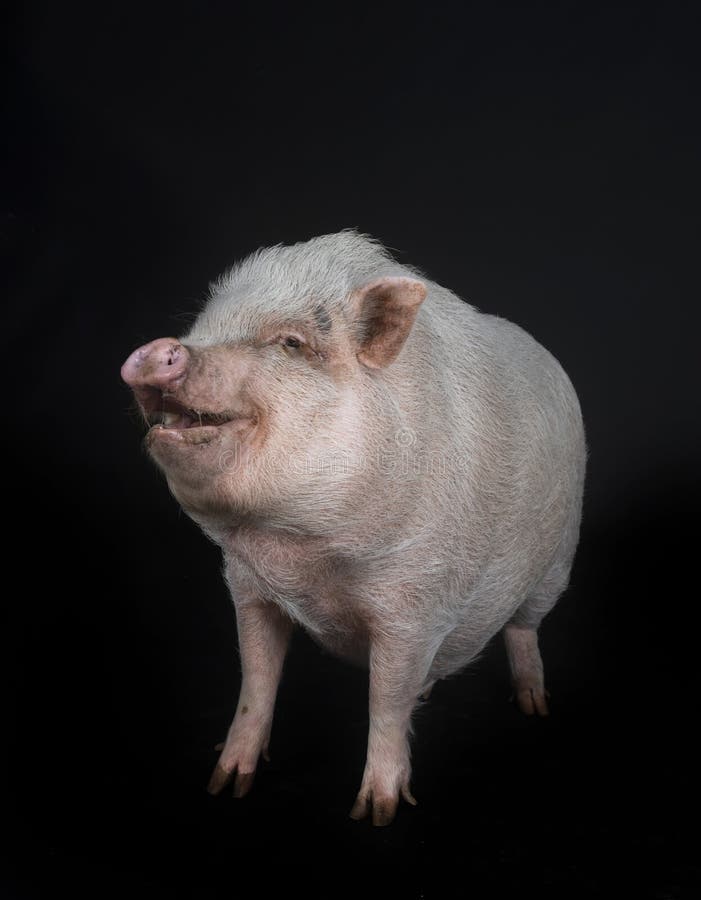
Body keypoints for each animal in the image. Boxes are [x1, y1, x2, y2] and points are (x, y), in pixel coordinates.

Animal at [121, 230, 586, 826]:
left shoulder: (413, 608)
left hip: (557, 561)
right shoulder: (248, 588)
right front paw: (224, 784)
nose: (159, 349)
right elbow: (256, 677)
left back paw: (534, 707)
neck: (302, 553)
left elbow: (385, 700)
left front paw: (376, 813)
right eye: (204, 329)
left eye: (291, 343)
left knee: (524, 628)